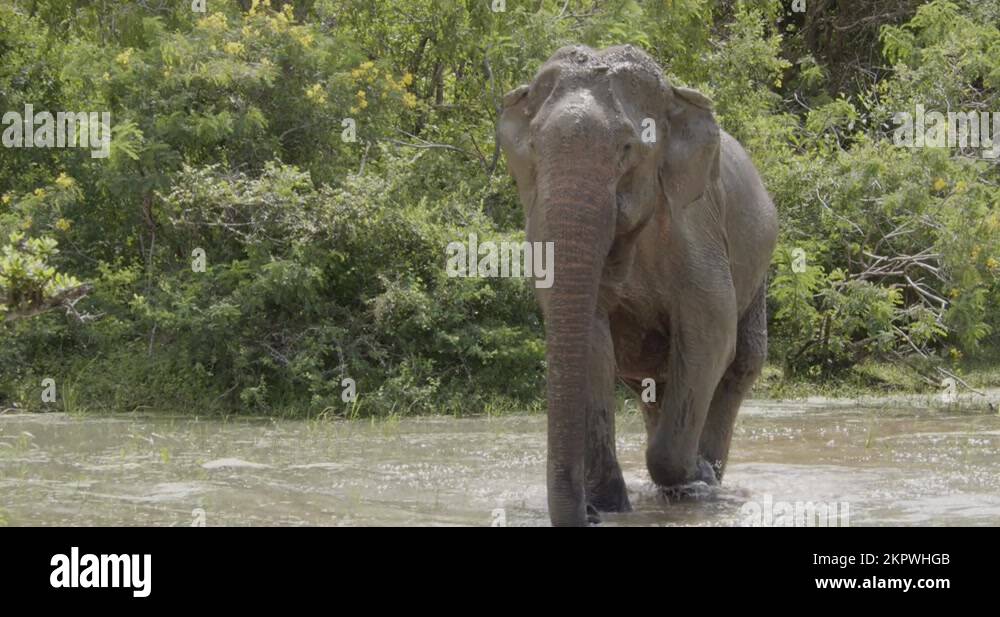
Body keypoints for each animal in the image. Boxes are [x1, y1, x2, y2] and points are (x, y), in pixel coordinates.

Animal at [498, 45, 778, 526]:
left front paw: (697, 477)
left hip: (757, 265)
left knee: (740, 363)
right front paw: (611, 505)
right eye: (534, 148)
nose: (588, 517)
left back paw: (707, 483)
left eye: (627, 149)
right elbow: (594, 343)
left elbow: (709, 337)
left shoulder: (695, 226)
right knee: (648, 379)